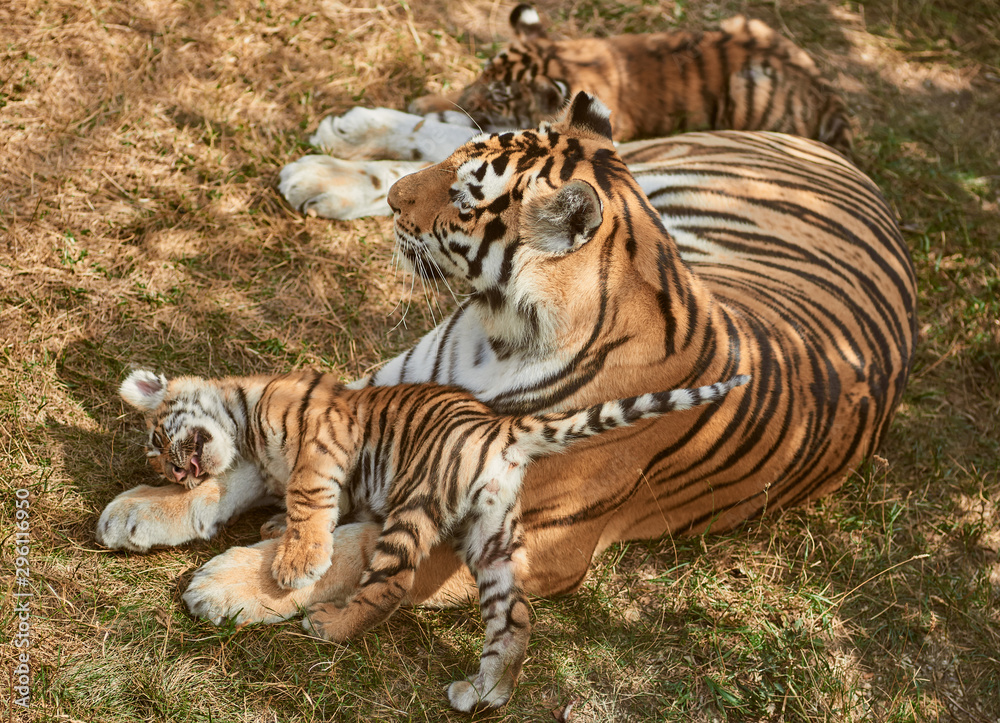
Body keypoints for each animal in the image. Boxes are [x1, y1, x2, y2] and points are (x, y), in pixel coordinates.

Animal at [104, 367, 747, 710]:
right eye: (157, 460)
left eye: (157, 439)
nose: (174, 471)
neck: (245, 415)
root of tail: (504, 432)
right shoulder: (272, 472)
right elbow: (241, 491)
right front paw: (147, 510)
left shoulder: (322, 448)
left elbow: (308, 507)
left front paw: (289, 563)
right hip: (492, 541)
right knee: (515, 619)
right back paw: (485, 693)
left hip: (415, 500)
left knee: (392, 585)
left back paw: (330, 624)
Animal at [411, 5, 852, 154]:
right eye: (481, 74)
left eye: (499, 96)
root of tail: (828, 92)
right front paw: (429, 103)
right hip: (742, 23)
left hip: (748, 87)